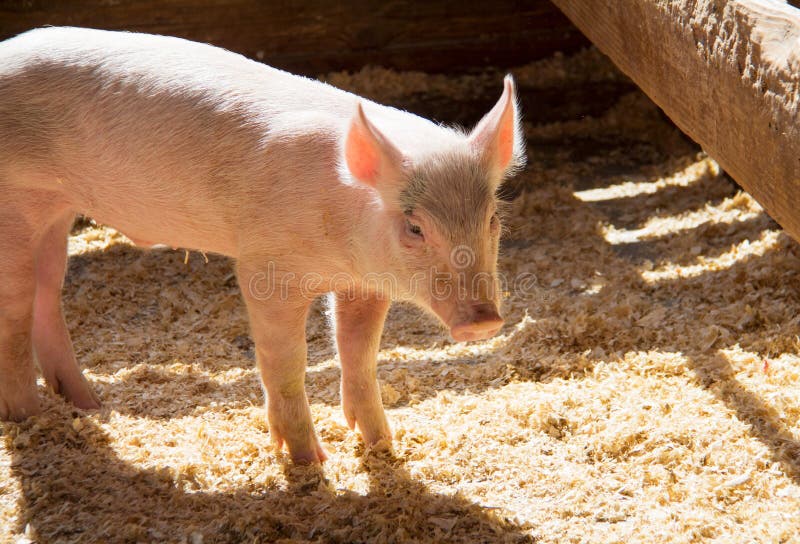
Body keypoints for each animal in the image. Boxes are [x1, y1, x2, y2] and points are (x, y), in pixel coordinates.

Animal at [0, 27, 524, 463]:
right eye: (415, 228)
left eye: (493, 218)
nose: (485, 320)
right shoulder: (267, 266)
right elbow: (286, 361)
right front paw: (310, 462)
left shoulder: (364, 283)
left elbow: (359, 353)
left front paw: (381, 445)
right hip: (14, 206)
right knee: (16, 306)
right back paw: (32, 417)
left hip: (56, 212)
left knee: (48, 292)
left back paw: (89, 405)